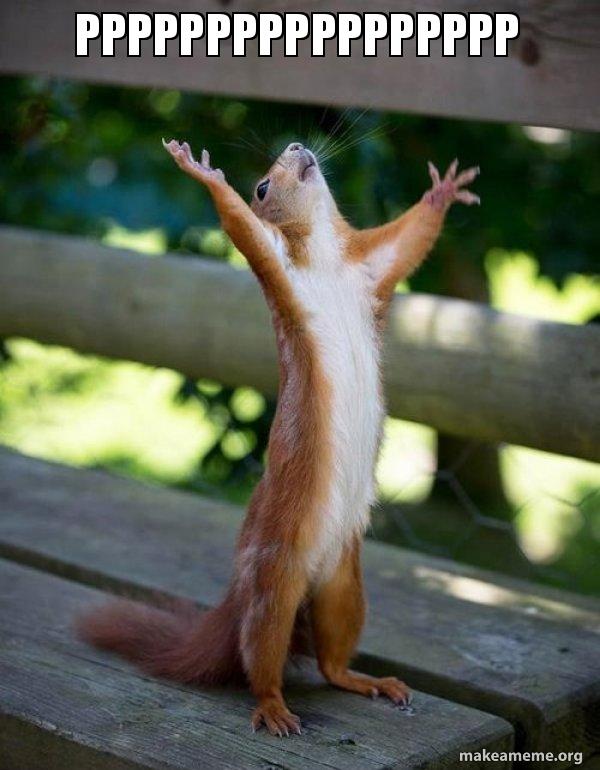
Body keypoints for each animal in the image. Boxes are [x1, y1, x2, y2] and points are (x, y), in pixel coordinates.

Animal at [79, 138, 479, 737]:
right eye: (262, 186)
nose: (296, 146)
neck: (327, 258)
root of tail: (239, 596)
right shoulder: (277, 265)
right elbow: (241, 227)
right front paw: (204, 174)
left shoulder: (371, 267)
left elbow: (408, 241)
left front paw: (443, 191)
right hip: (274, 583)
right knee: (260, 657)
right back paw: (273, 707)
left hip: (344, 586)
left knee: (332, 660)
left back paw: (367, 681)